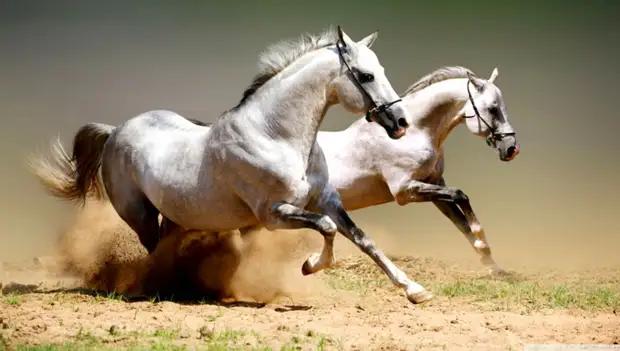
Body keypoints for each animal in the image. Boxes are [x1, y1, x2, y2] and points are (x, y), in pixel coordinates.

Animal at [30, 26, 440, 304]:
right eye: (366, 75)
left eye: (381, 70)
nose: (400, 122)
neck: (275, 135)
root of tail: (115, 131)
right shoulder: (273, 214)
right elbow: (325, 229)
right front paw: (309, 265)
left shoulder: (326, 200)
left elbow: (362, 238)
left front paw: (415, 290)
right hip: (139, 214)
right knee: (153, 251)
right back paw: (162, 287)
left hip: (175, 215)